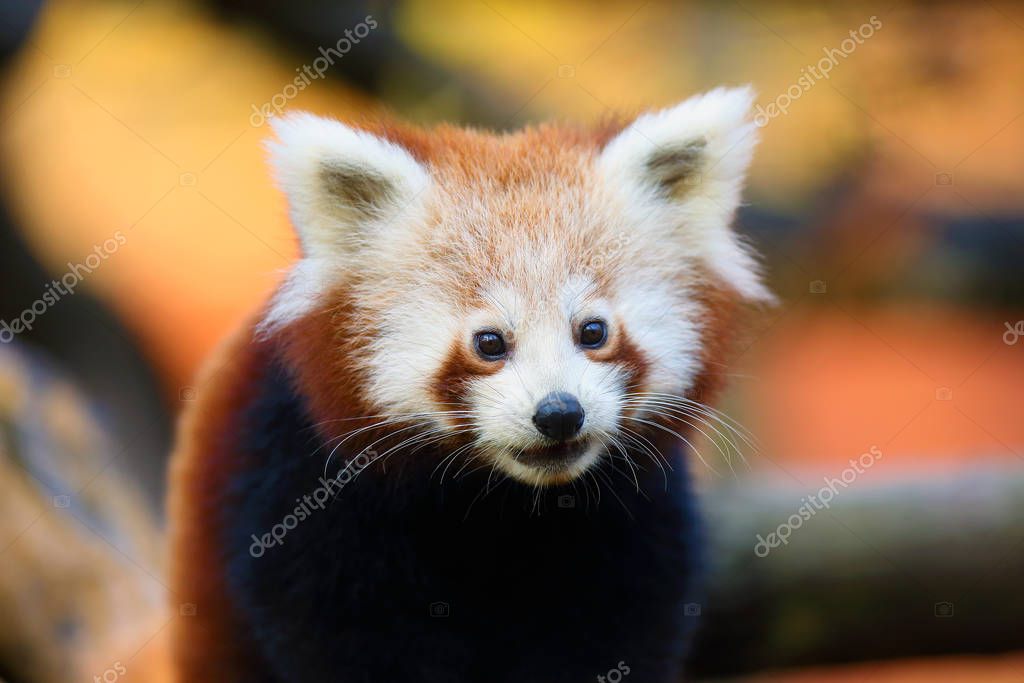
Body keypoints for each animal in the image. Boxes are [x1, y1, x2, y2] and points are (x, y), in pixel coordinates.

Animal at [167, 86, 771, 682]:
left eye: (593, 331)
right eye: (489, 343)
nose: (559, 413)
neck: (502, 504)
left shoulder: (633, 521)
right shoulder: (302, 487)